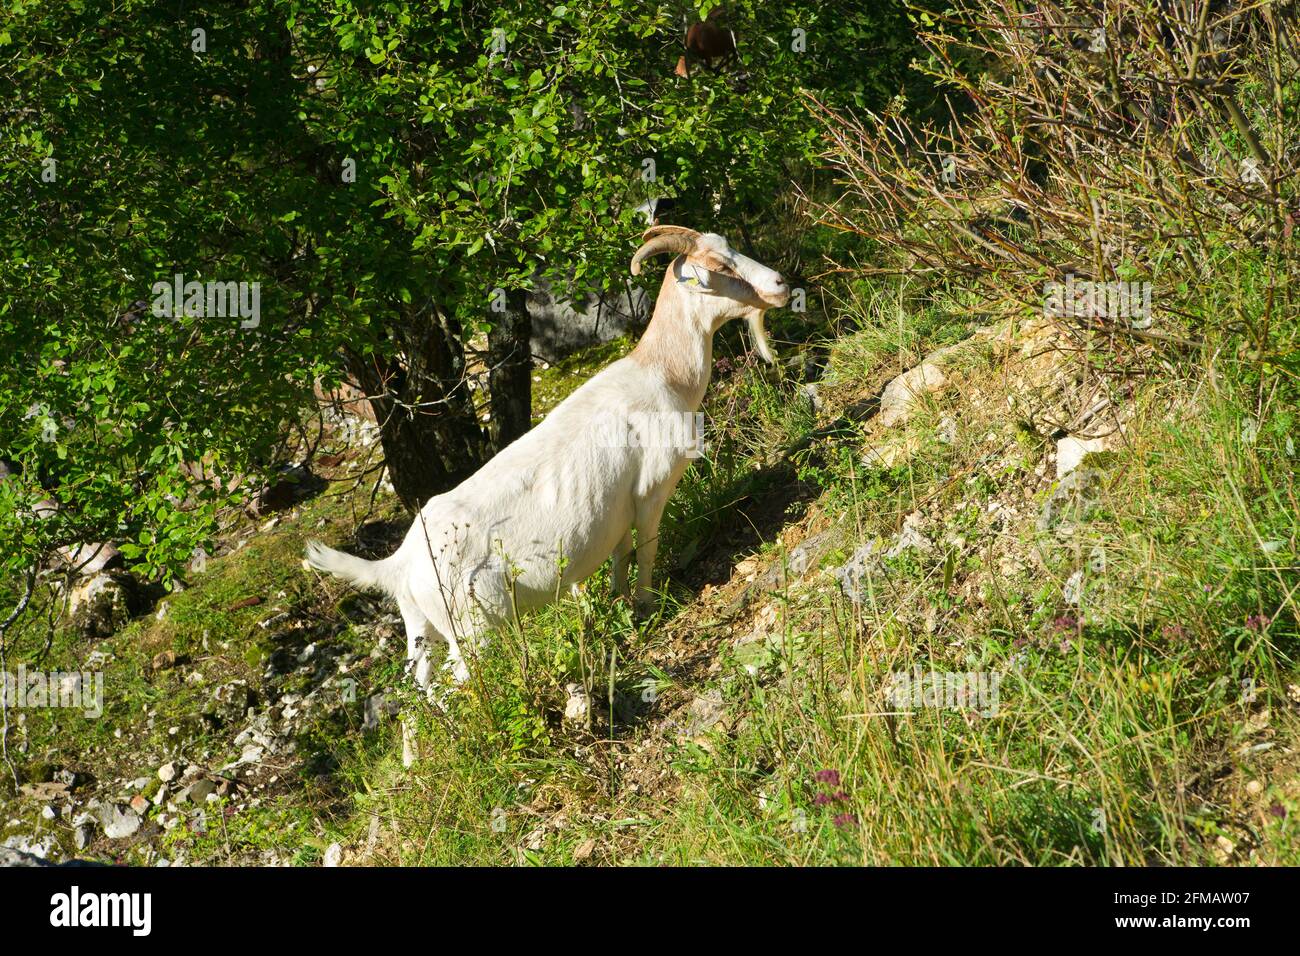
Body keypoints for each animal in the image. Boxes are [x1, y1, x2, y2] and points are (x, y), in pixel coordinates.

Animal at [305, 226, 788, 764]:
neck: (662, 375)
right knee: (451, 695)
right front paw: (647, 606)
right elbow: (645, 551)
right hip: (472, 635)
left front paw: (619, 606)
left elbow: (620, 556)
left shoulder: (617, 512)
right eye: (719, 268)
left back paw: (415, 767)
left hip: (422, 633)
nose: (781, 284)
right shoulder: (650, 490)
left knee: (416, 704)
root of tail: (401, 563)